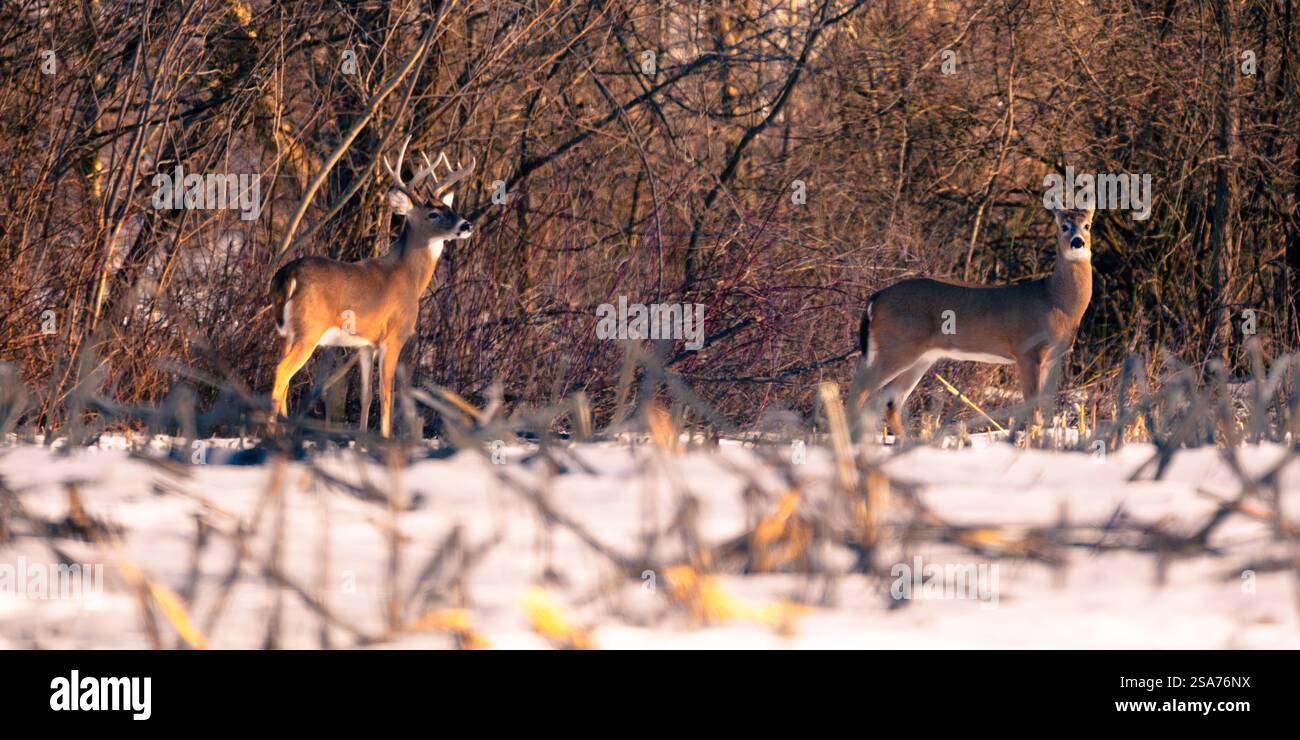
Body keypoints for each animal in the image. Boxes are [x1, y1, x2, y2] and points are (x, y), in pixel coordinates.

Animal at [268, 136, 475, 437]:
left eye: (450, 208)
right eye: (434, 213)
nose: (467, 225)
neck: (410, 278)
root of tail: (287, 275)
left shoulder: (365, 344)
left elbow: (366, 395)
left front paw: (363, 435)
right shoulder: (394, 335)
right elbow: (386, 394)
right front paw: (386, 436)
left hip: (285, 333)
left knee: (284, 379)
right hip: (309, 329)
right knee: (281, 372)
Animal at [853, 204, 1095, 439]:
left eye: (1087, 225)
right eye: (1064, 226)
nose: (1077, 242)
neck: (1056, 300)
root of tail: (875, 299)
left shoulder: (1050, 358)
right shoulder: (1028, 351)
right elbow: (1032, 410)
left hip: (920, 358)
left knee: (891, 403)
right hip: (896, 346)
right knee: (859, 391)